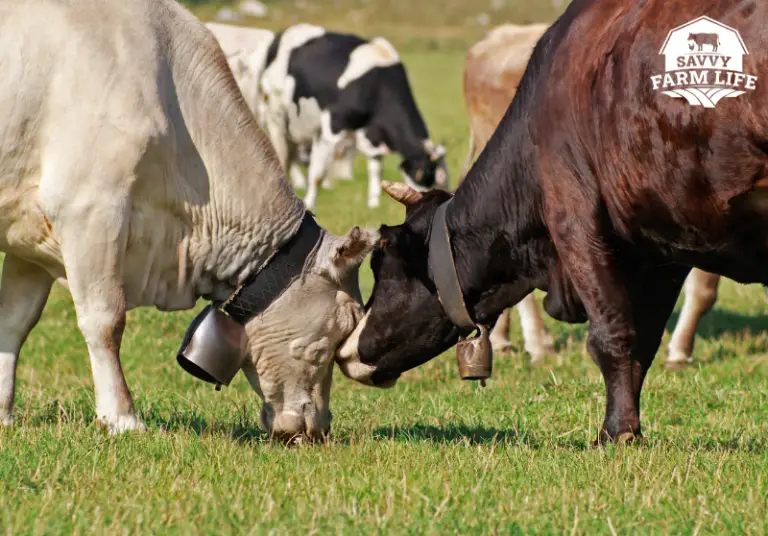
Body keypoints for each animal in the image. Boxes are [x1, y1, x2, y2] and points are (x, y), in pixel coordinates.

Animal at [0, 0, 377, 441]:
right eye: (338, 331)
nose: (319, 427)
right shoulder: (88, 207)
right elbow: (105, 320)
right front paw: (122, 417)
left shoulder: (31, 236)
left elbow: (15, 321)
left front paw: (3, 414)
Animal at [260, 23, 448, 210]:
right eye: (429, 175)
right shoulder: (333, 126)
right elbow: (318, 174)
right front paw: (309, 204)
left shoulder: (372, 134)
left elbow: (376, 169)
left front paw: (373, 202)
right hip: (276, 114)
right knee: (281, 153)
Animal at [337, 0, 768, 444]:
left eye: (383, 264)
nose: (345, 351)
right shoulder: (665, 241)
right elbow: (643, 336)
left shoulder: (575, 217)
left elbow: (615, 332)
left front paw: (616, 433)